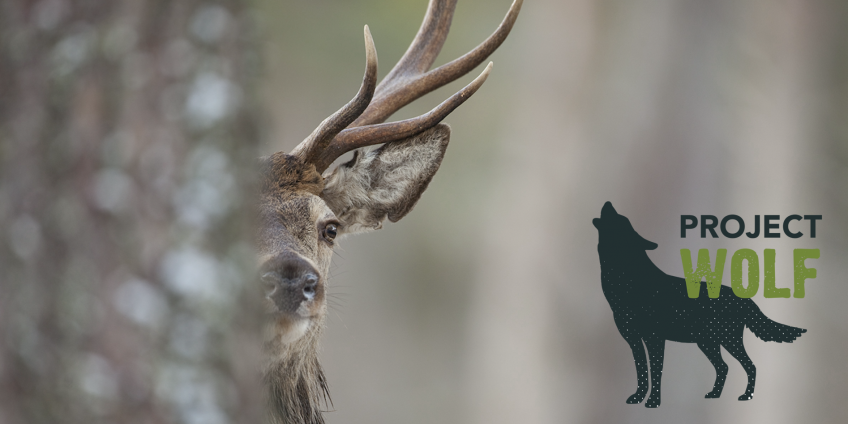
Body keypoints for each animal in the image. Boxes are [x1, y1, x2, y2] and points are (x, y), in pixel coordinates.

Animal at [593, 202, 805, 408]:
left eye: (620, 220)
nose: (608, 202)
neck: (629, 281)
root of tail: (743, 298)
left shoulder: (655, 340)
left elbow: (655, 371)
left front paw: (653, 402)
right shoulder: (634, 341)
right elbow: (641, 371)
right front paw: (638, 398)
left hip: (728, 341)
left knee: (750, 366)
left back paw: (746, 396)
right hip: (707, 343)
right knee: (724, 367)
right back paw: (714, 394)